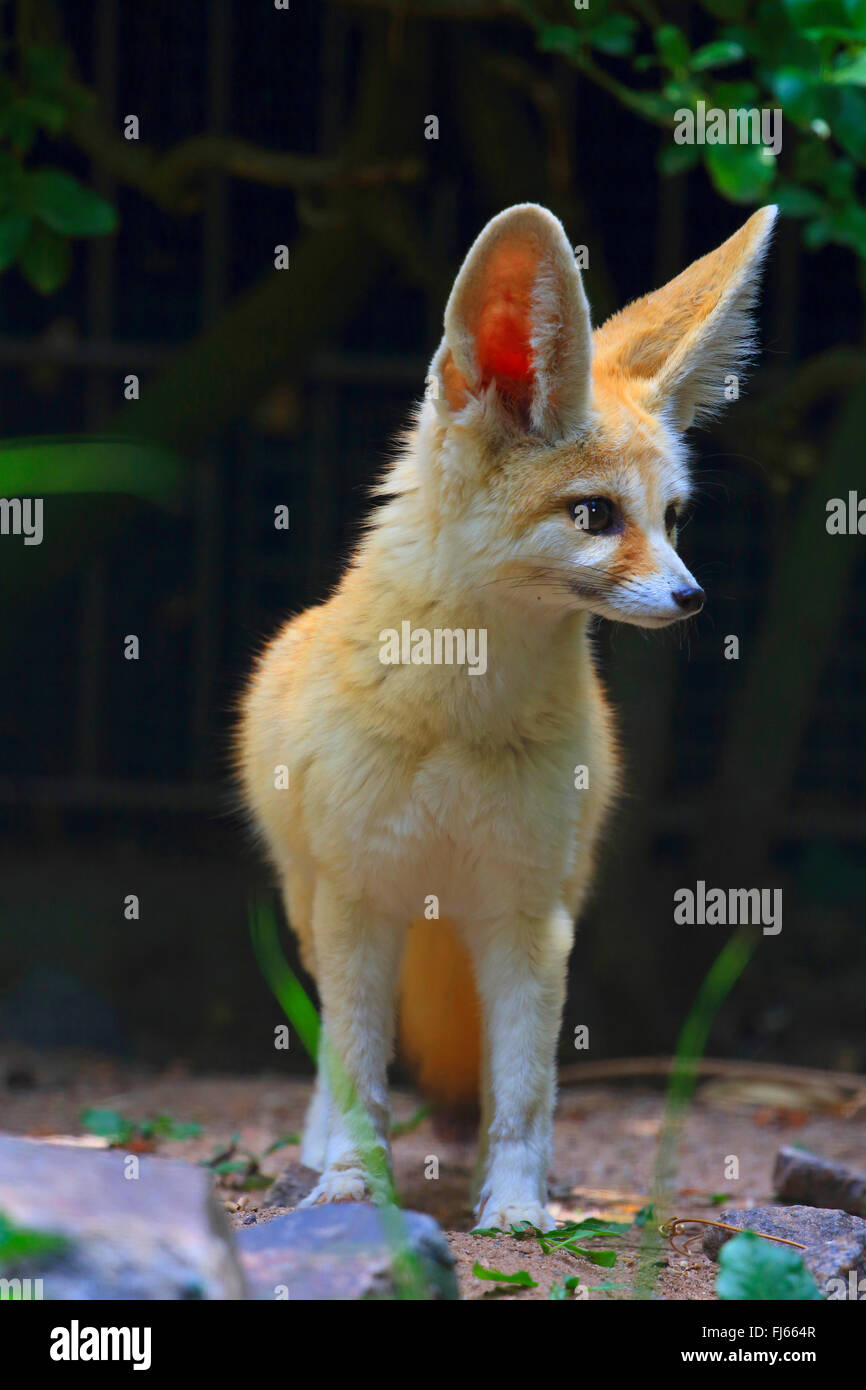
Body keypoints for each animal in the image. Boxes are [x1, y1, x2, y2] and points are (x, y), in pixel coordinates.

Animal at [237, 201, 776, 1231]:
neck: (459, 720)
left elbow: (525, 1086)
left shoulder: (529, 913)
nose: (693, 599)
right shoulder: (360, 901)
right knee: (331, 1060)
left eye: (675, 517)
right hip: (311, 908)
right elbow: (359, 1075)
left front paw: (519, 1209)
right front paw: (352, 1185)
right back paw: (319, 1155)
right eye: (595, 515)